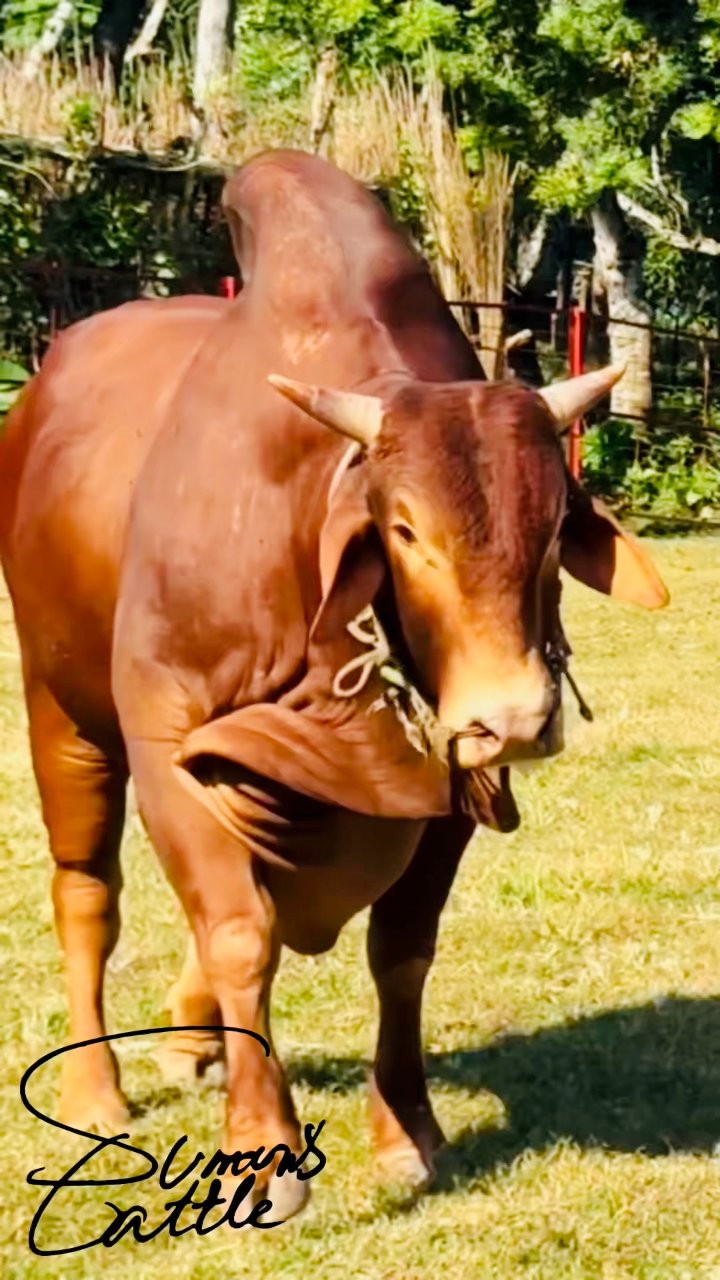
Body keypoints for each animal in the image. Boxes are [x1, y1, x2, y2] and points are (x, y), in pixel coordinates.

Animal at [0, 150, 668, 1222]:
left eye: (554, 524)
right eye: (404, 531)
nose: (517, 720)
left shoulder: (445, 784)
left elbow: (398, 948)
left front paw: (406, 1133)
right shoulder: (168, 738)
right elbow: (240, 935)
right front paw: (262, 1151)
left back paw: (193, 1036)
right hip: (59, 705)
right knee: (87, 890)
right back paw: (96, 1091)